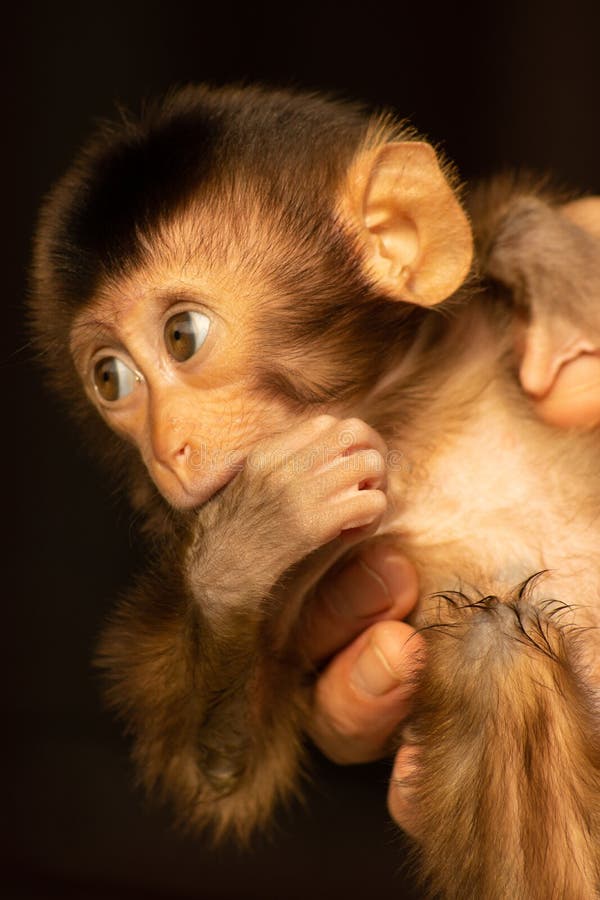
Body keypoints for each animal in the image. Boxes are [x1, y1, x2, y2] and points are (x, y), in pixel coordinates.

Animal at [28, 85, 600, 899]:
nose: (166, 449)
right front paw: (248, 538)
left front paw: (560, 267)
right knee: (497, 647)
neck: (405, 426)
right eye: (110, 379)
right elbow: (219, 767)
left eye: (182, 337)